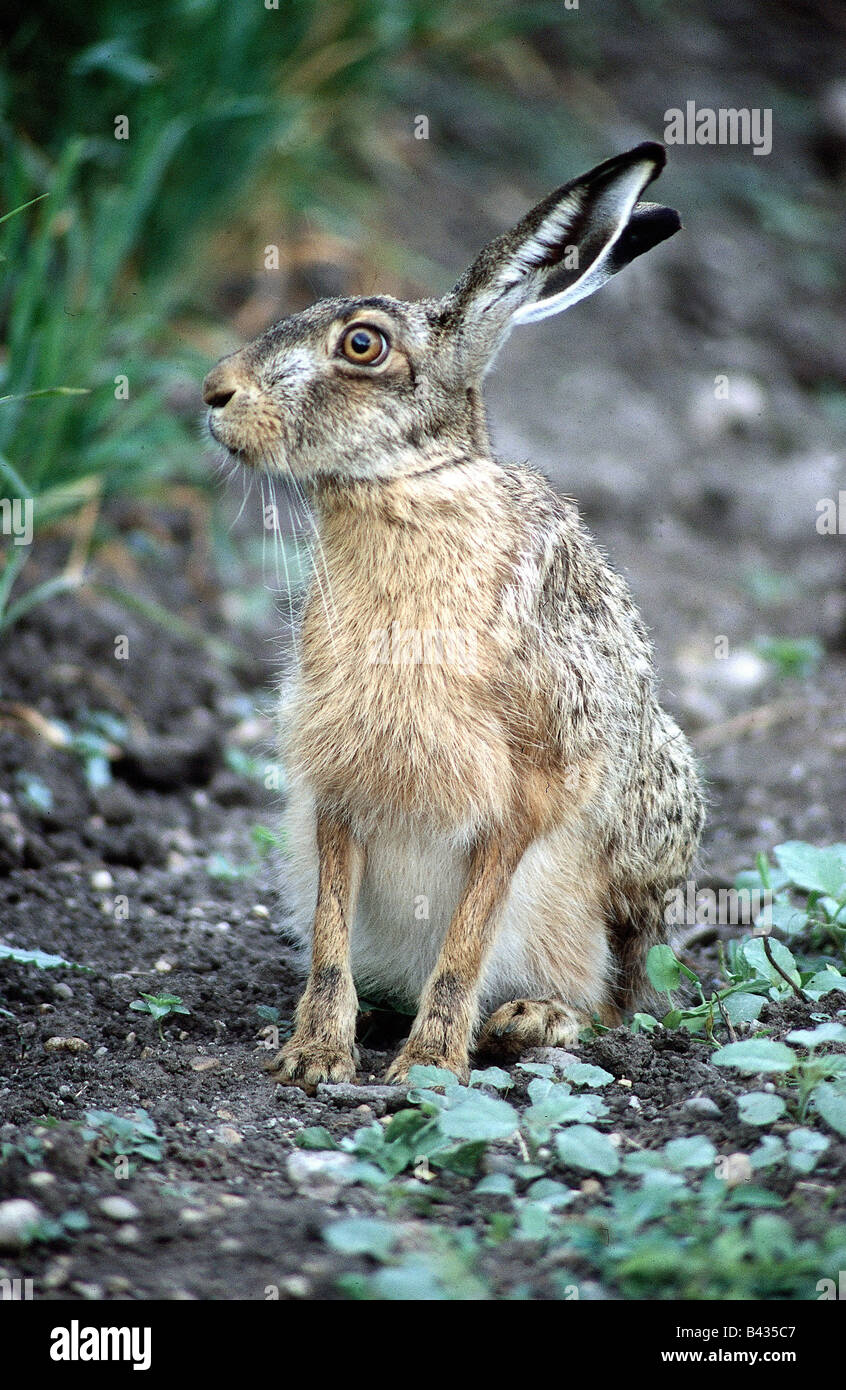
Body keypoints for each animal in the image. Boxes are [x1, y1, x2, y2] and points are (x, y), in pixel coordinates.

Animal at [203, 141, 704, 1088]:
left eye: (362, 344)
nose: (215, 393)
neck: (405, 487)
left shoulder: (525, 786)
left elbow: (467, 939)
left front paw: (430, 1064)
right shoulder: (337, 777)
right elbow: (329, 931)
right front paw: (316, 1057)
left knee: (613, 1004)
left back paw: (527, 1021)